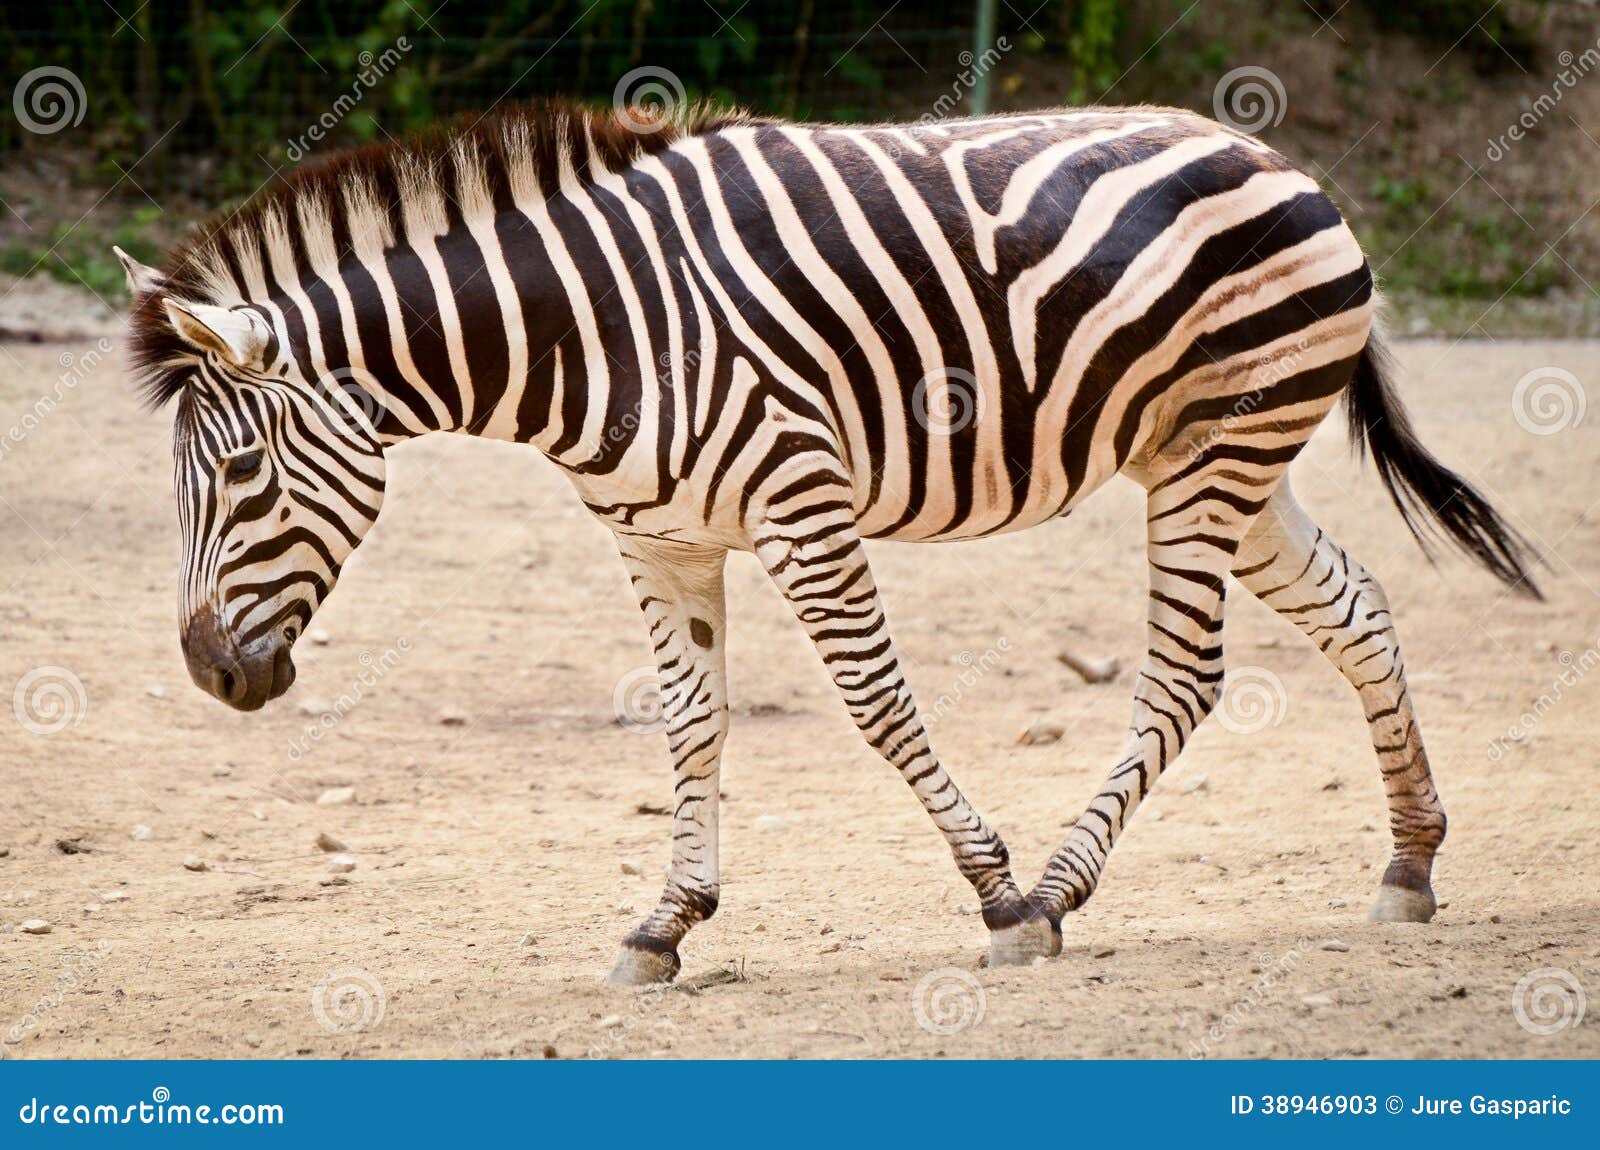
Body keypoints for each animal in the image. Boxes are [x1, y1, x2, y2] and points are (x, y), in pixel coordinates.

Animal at [121, 99, 1538, 985]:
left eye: (238, 473)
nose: (207, 673)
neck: (583, 334)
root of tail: (1270, 153)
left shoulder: (801, 505)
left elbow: (875, 701)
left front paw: (998, 894)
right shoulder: (659, 542)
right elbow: (691, 723)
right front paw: (665, 922)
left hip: (1210, 457)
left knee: (1188, 675)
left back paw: (1062, 890)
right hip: (1220, 464)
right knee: (1358, 606)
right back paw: (1409, 862)